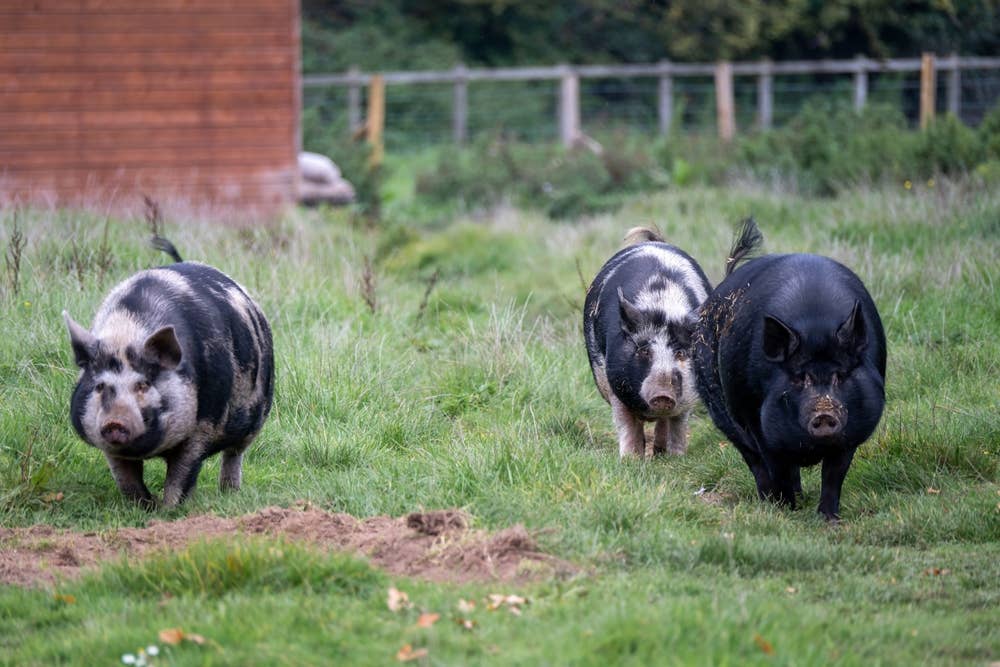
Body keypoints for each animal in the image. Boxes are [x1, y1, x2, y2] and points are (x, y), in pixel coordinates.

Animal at [63, 239, 274, 508]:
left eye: (143, 384)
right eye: (100, 386)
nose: (115, 422)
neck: (126, 334)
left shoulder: (203, 425)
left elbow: (181, 473)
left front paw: (169, 509)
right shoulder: (105, 442)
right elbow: (125, 477)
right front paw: (142, 507)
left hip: (257, 412)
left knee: (234, 453)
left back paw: (229, 492)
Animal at [584, 227, 712, 458]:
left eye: (680, 353)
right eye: (644, 351)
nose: (663, 394)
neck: (661, 303)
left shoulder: (688, 394)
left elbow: (678, 423)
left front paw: (676, 456)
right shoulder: (612, 380)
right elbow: (626, 423)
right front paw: (630, 459)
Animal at [693, 219, 886, 520]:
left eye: (840, 375)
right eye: (798, 378)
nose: (824, 413)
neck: (816, 326)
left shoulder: (853, 430)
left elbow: (834, 474)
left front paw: (828, 518)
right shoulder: (758, 422)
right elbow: (776, 466)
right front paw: (785, 511)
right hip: (722, 412)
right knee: (755, 462)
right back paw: (768, 501)